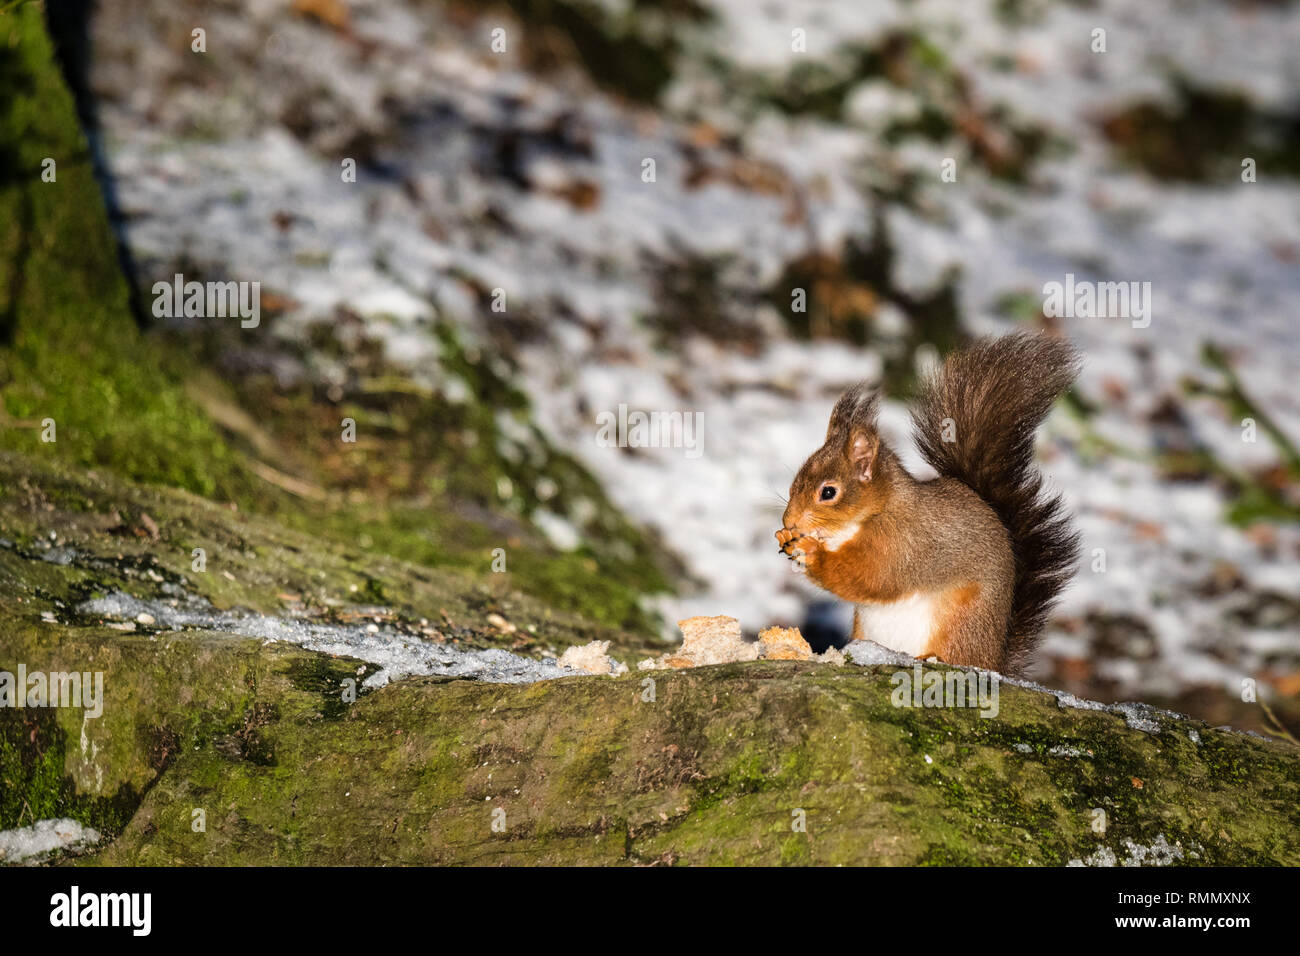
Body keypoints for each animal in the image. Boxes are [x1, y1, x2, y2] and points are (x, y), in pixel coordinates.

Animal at [776, 332, 1080, 676]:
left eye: (828, 492)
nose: (789, 521)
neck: (875, 512)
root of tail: (996, 662)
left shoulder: (903, 543)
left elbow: (872, 575)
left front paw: (811, 553)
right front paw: (788, 539)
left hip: (962, 621)